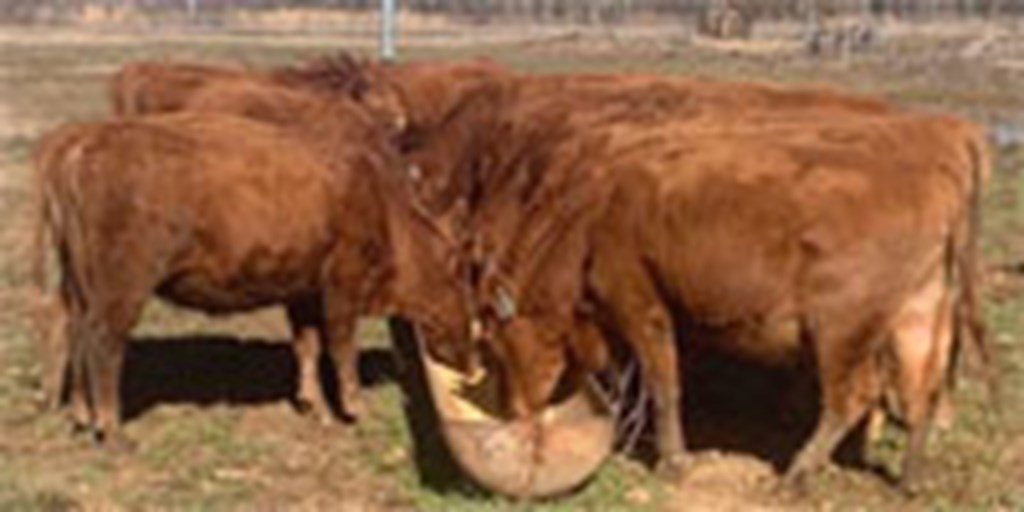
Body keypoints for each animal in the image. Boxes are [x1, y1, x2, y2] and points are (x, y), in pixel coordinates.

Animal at [32, 95, 474, 449]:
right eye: (459, 282)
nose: (468, 363)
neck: (380, 202)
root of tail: (83, 145)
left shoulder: (303, 294)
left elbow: (307, 347)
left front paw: (316, 408)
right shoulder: (340, 290)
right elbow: (340, 350)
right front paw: (353, 409)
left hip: (80, 286)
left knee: (75, 331)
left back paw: (82, 416)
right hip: (123, 290)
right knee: (104, 343)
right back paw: (114, 432)